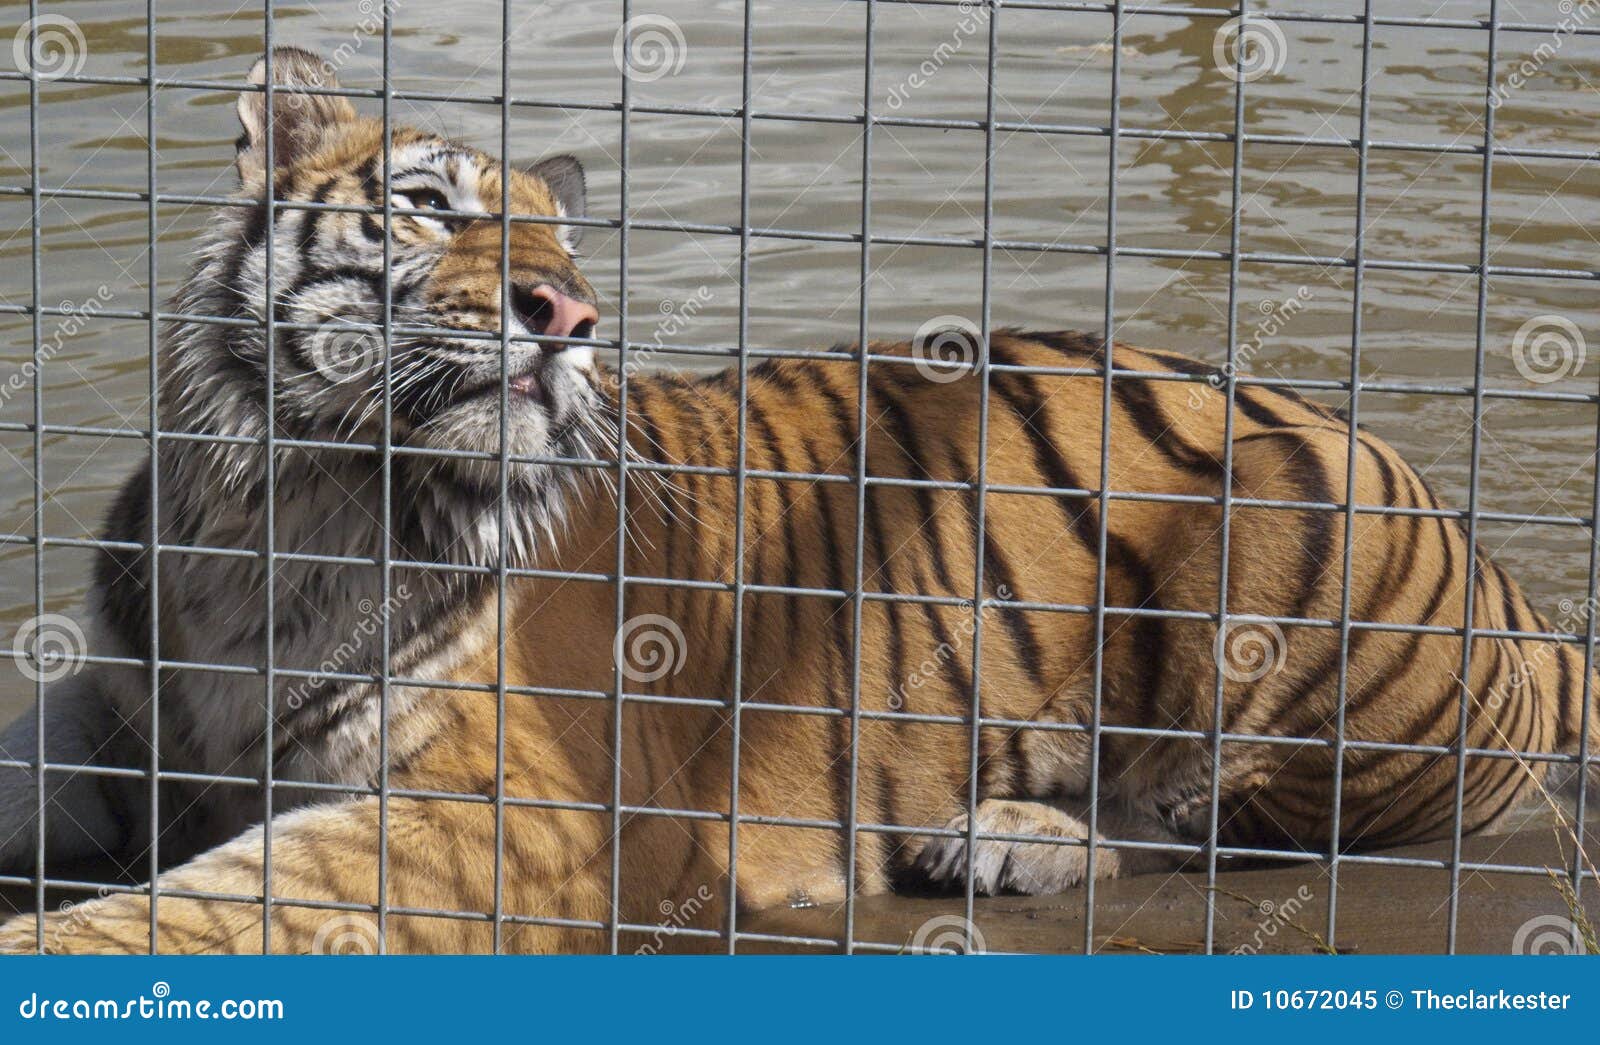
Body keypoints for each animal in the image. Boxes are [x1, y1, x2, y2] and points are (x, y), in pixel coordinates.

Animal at [0, 46, 1593, 954]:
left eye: (563, 239)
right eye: (431, 206)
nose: (568, 314)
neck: (277, 505)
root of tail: (1499, 571)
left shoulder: (494, 809)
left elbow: (223, 902)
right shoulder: (120, 714)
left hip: (1280, 598)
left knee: (1222, 822)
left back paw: (1007, 834)